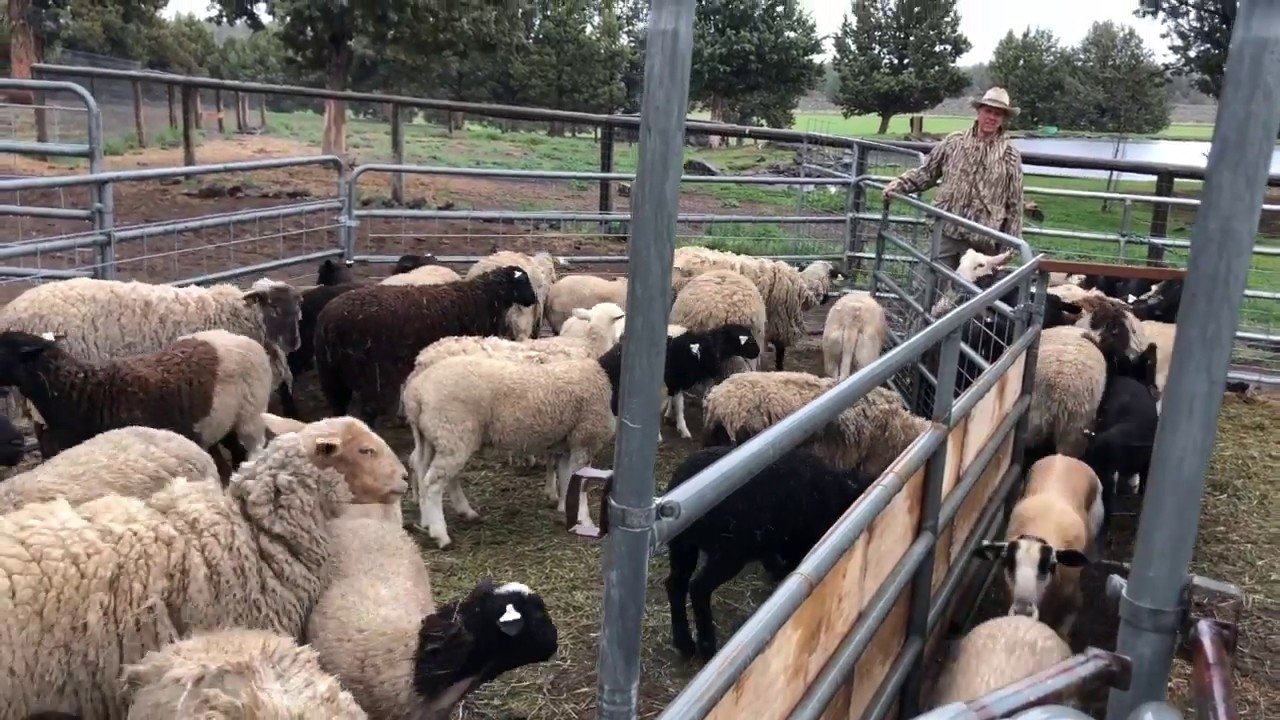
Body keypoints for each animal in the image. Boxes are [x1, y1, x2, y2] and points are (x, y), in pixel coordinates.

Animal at [314, 265, 538, 424]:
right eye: (522, 281)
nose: (533, 299)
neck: (482, 298)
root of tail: (329, 321)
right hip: (369, 372)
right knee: (368, 407)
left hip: (330, 371)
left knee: (338, 403)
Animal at [666, 445, 874, 659]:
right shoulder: (800, 543)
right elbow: (789, 565)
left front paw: (774, 571)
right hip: (728, 553)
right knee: (698, 588)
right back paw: (707, 647)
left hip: (683, 544)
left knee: (675, 584)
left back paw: (684, 644)